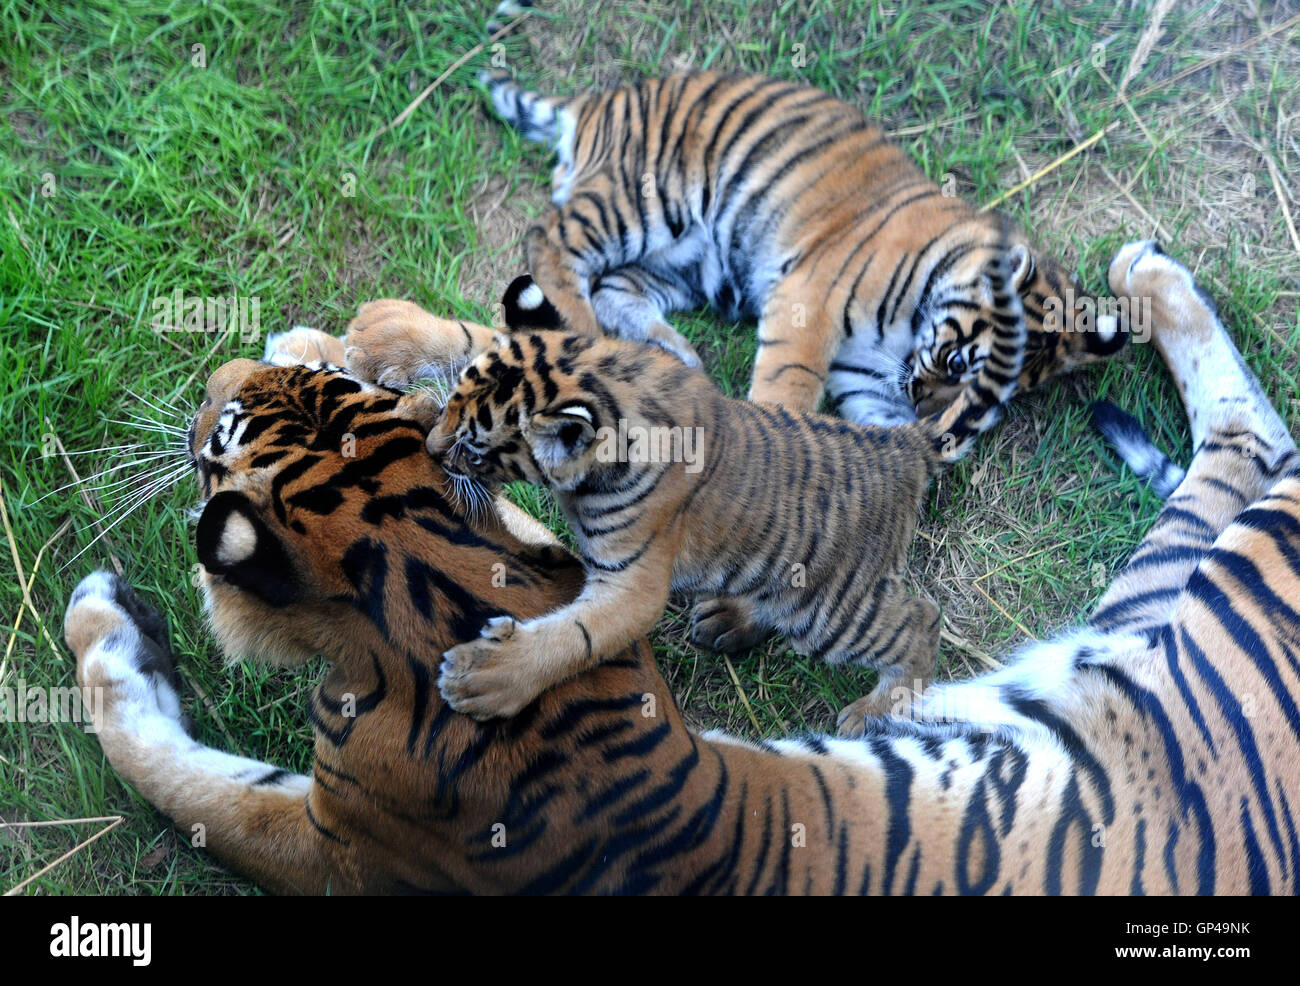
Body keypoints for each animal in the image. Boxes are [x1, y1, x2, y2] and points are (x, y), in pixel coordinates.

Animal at [392, 255, 1023, 733]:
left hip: (832, 609)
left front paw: (483, 679)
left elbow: (575, 638)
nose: (430, 448)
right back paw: (727, 618)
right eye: (451, 404)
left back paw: (875, 713)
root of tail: (903, 442)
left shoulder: (634, 582)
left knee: (920, 619)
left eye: (475, 446)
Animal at [477, 64, 1128, 425]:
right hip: (647, 200)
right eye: (960, 363)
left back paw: (673, 350)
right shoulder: (810, 300)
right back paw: (584, 329)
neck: (911, 327)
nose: (924, 407)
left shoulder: (867, 371)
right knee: (552, 238)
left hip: (691, 263)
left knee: (614, 284)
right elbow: (790, 382)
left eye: (993, 394)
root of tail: (602, 100)